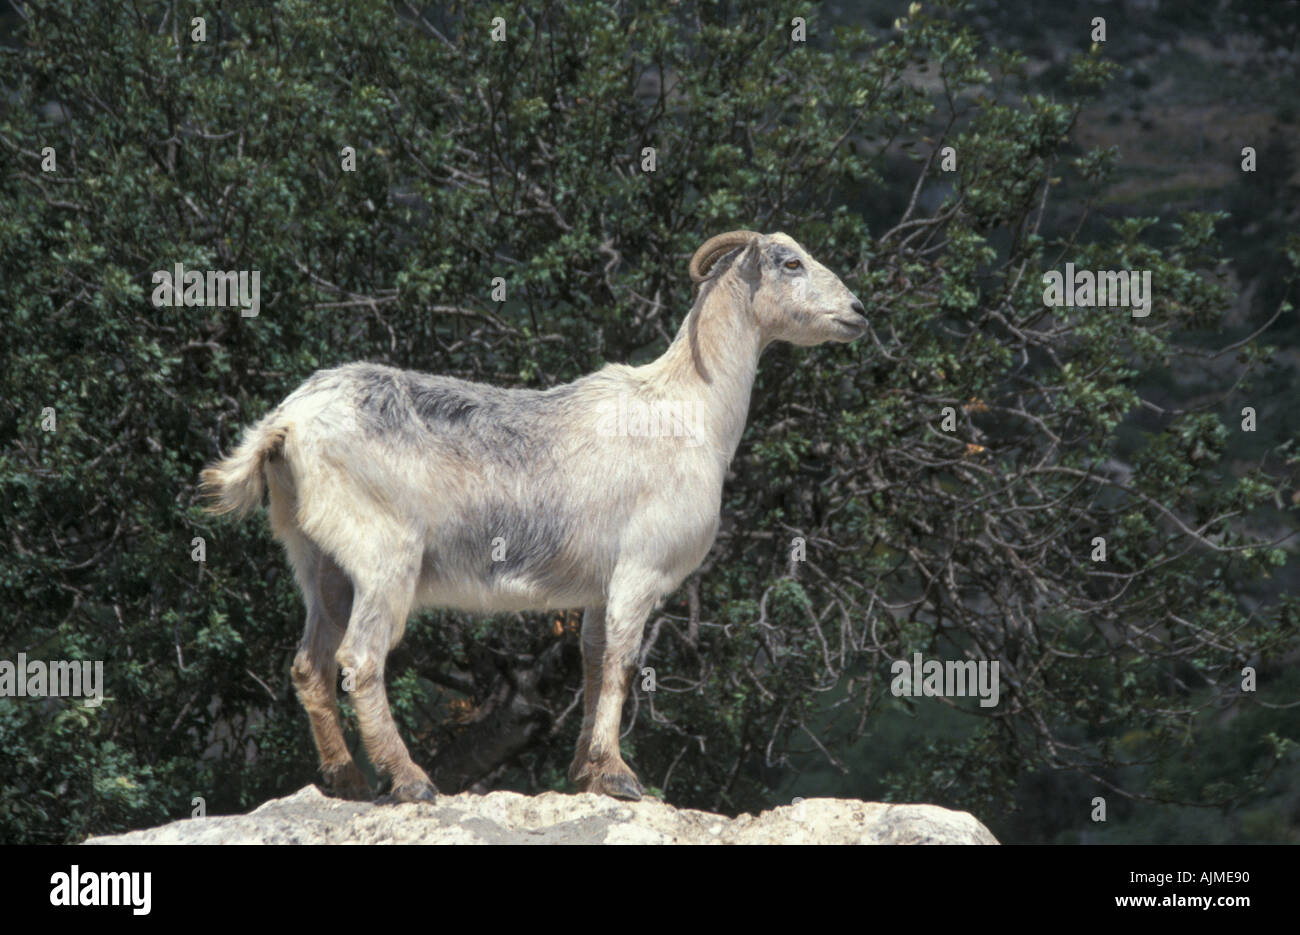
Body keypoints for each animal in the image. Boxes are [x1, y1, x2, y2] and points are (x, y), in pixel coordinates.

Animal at [200, 230, 867, 802]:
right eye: (791, 263)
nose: (859, 311)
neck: (688, 406)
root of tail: (286, 421)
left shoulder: (599, 585)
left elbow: (594, 660)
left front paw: (587, 773)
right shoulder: (639, 570)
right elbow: (623, 663)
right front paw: (619, 776)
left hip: (317, 560)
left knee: (309, 665)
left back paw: (347, 781)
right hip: (385, 554)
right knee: (360, 660)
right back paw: (410, 781)